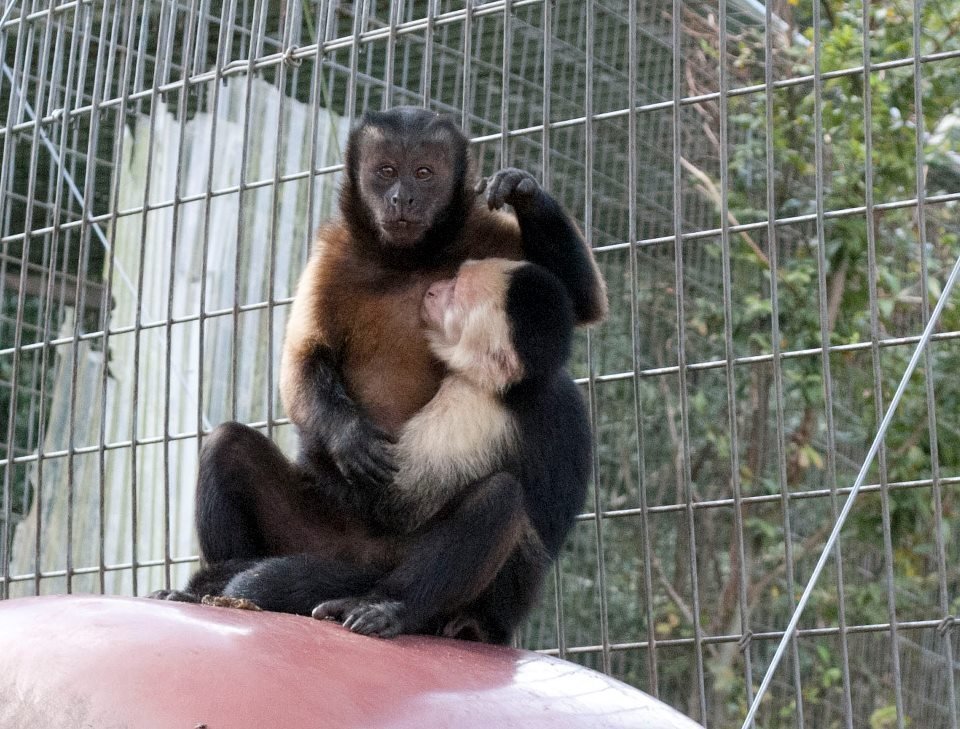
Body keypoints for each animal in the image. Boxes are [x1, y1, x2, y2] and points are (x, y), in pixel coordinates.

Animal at [216, 257, 588, 643]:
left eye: (456, 292)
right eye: (455, 277)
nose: (434, 289)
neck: (523, 386)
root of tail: (500, 628)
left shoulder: (475, 404)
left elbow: (395, 503)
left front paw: (345, 438)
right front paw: (344, 432)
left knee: (500, 498)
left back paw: (392, 608)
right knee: (229, 445)